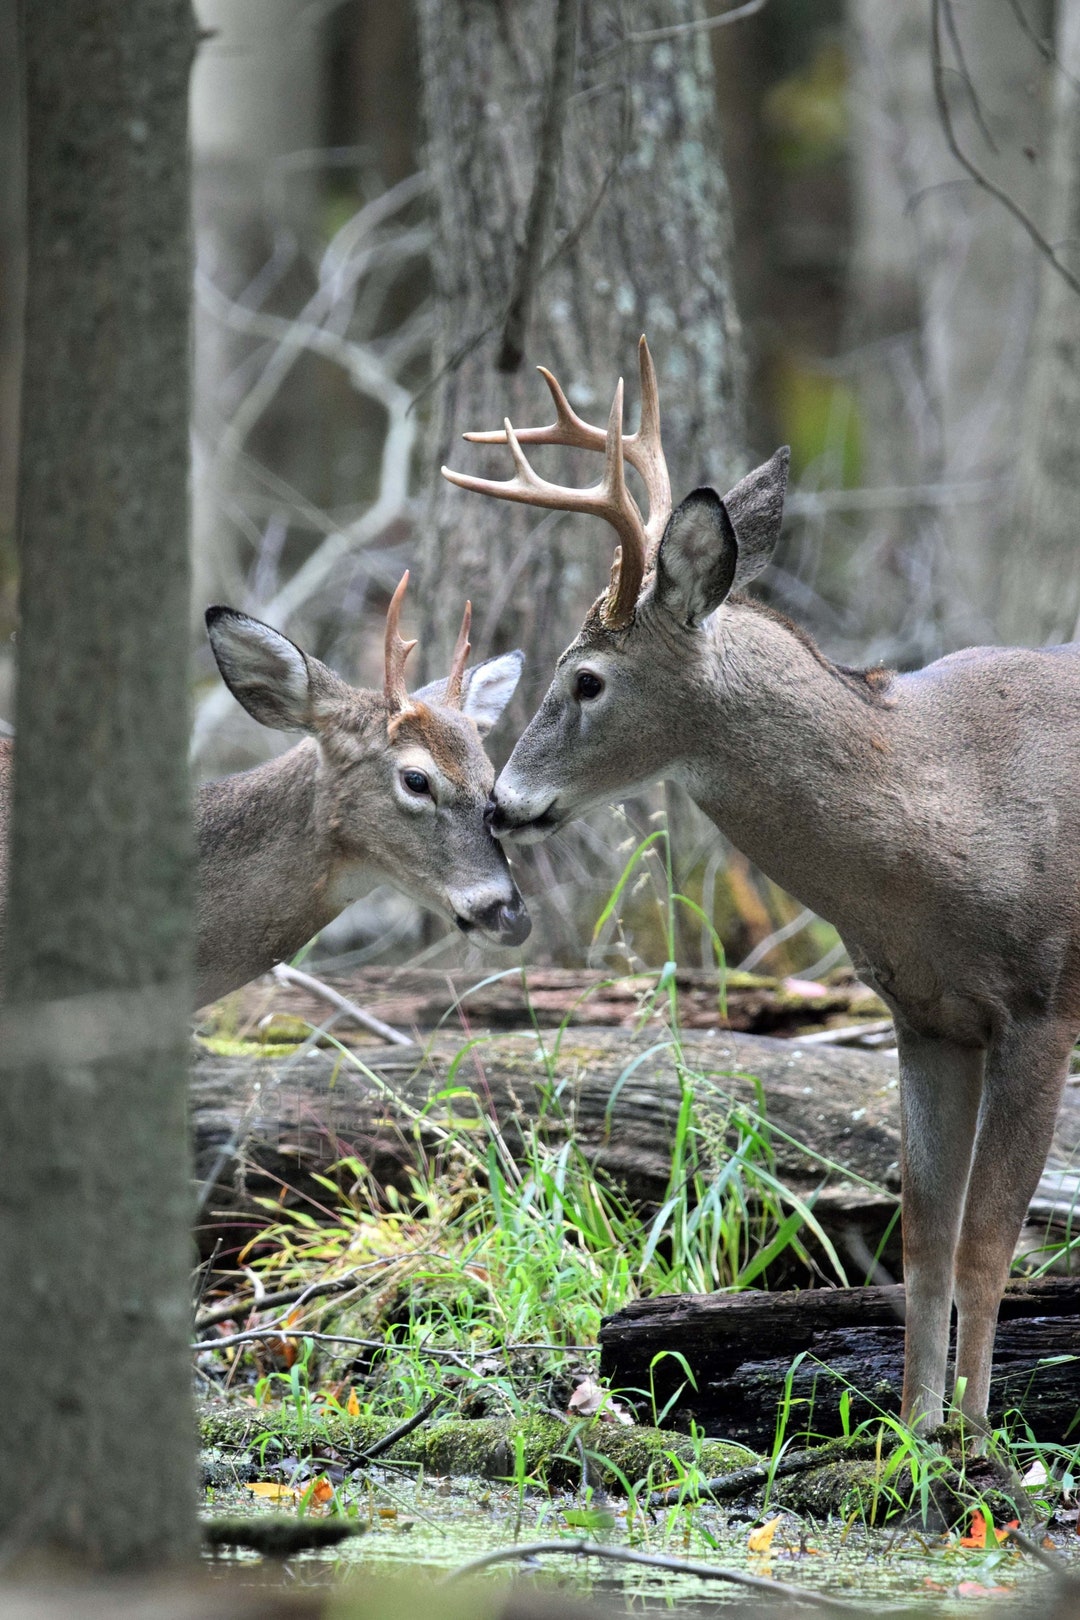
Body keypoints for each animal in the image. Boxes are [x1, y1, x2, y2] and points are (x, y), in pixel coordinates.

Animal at [443, 336, 1080, 1435]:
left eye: (586, 679)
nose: (500, 806)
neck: (940, 811)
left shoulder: (1042, 1001)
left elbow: (988, 1244)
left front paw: (976, 1440)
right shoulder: (928, 1016)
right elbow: (924, 1243)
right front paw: (912, 1437)